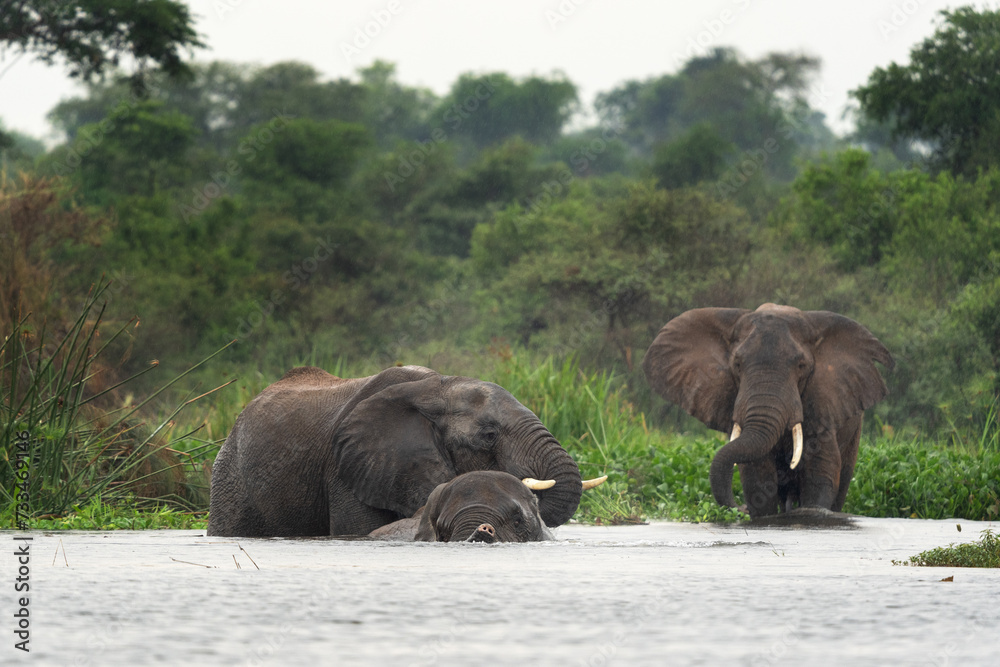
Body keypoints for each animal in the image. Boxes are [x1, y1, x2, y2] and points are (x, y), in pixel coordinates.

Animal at [642, 303, 893, 518]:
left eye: (801, 366)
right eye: (737, 365)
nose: (740, 508)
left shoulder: (822, 401)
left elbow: (821, 474)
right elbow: (758, 478)